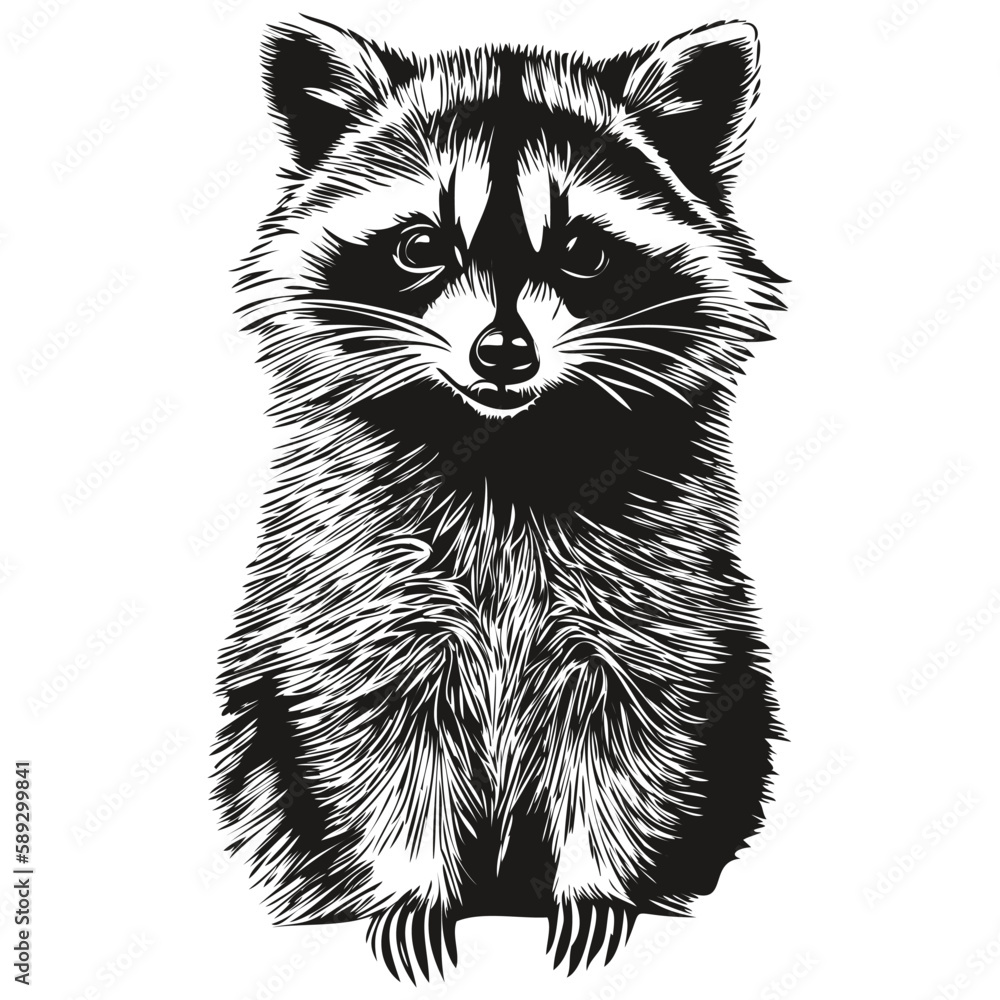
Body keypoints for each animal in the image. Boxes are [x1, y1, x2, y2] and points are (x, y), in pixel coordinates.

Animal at [213, 16, 787, 982]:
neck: (506, 448)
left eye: (584, 252)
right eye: (420, 245)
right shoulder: (352, 584)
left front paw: (597, 881)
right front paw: (410, 885)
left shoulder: (657, 582)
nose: (503, 353)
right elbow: (374, 739)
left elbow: (636, 735)